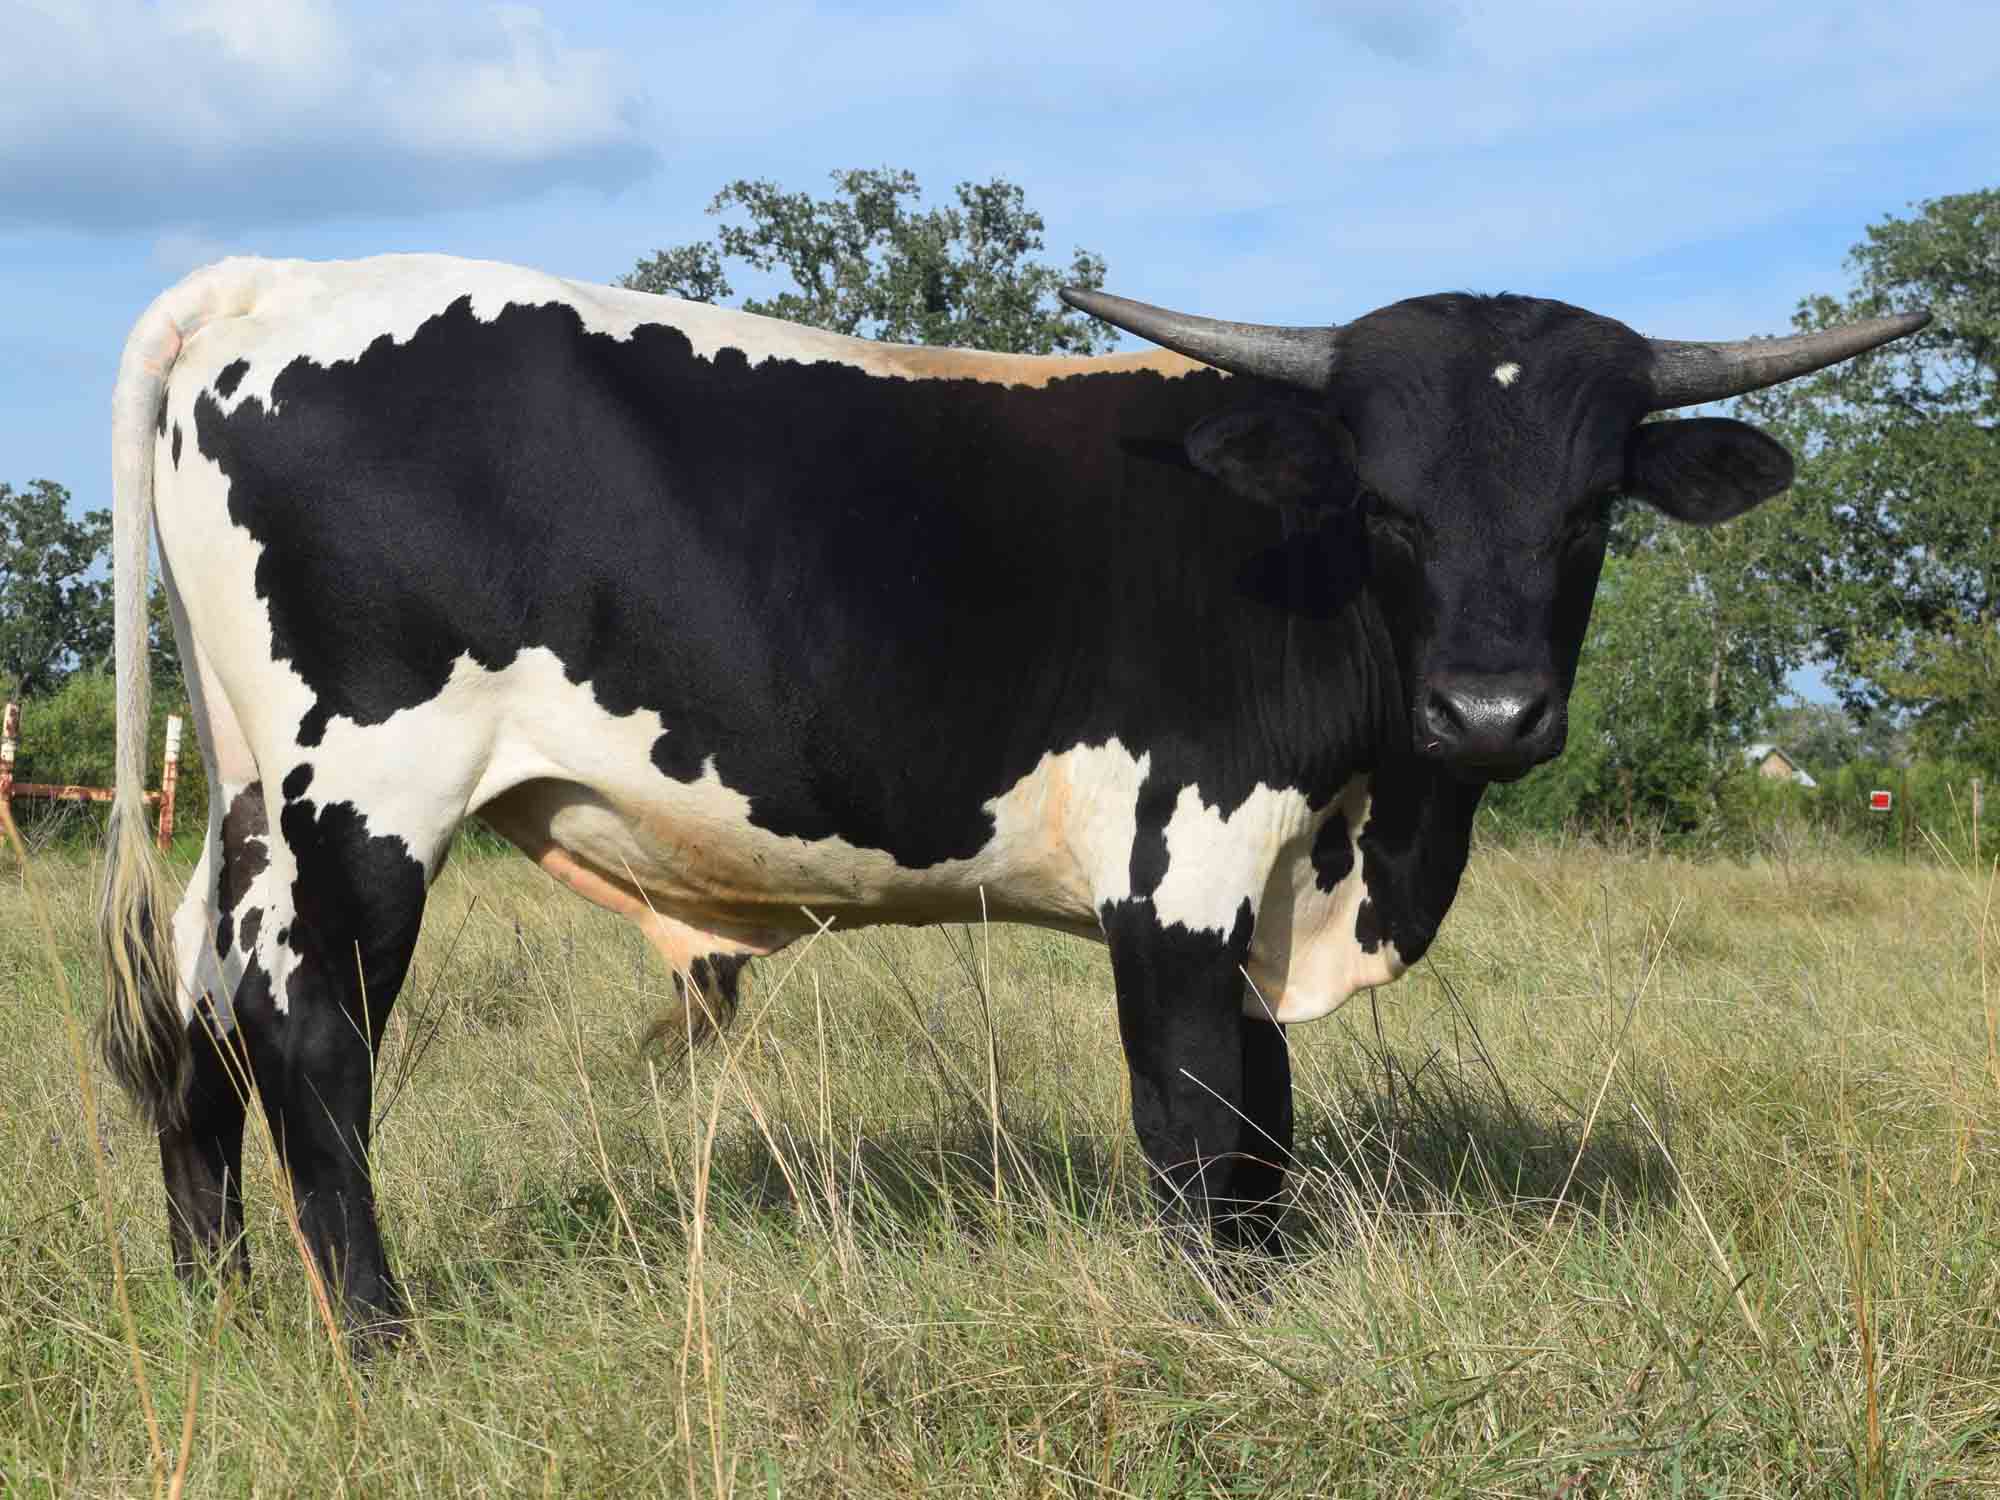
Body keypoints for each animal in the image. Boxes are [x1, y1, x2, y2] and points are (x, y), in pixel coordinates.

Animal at [96, 254, 1924, 1338]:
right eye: (1388, 507)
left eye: (1588, 513)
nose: (1489, 709)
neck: (1374, 837)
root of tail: (275, 284)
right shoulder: (1179, 864)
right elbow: (1197, 1116)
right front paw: (1208, 1324)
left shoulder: (1263, 879)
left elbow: (1268, 1124)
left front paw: (1264, 1304)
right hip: (364, 797)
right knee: (311, 1039)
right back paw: (380, 1336)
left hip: (249, 798)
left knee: (197, 1018)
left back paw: (214, 1304)